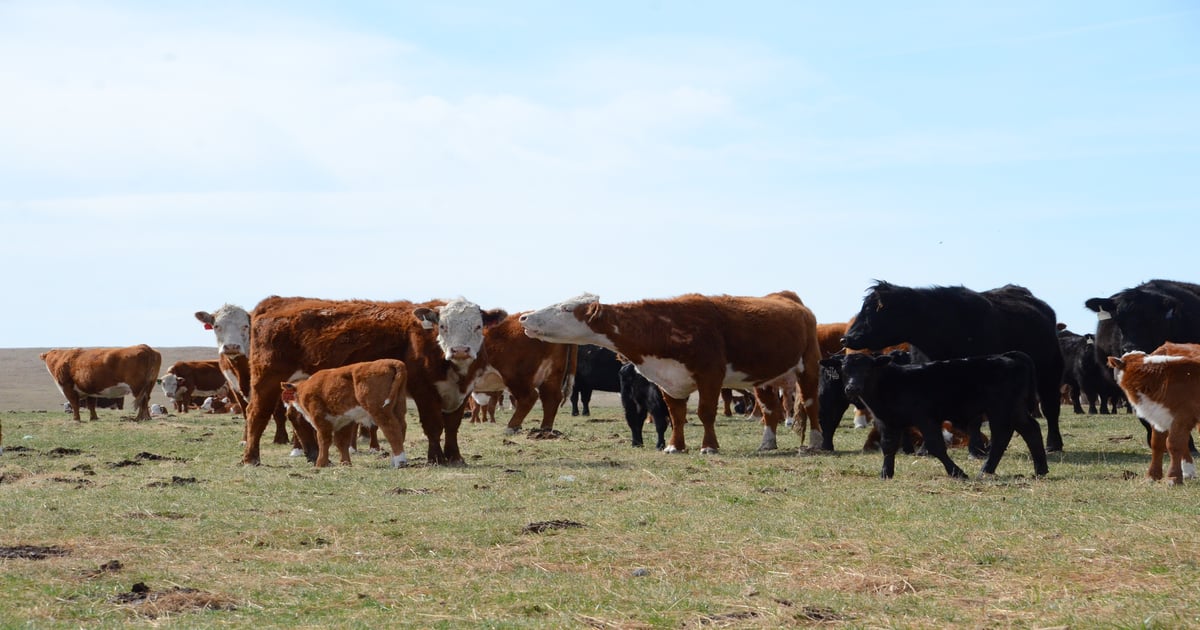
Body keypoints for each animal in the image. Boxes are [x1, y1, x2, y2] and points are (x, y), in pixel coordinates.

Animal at [280, 359, 409, 468]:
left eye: (291, 417)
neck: (304, 389)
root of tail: (390, 361)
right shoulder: (344, 421)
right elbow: (341, 442)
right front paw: (345, 463)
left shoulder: (320, 419)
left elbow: (324, 440)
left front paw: (320, 463)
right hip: (398, 406)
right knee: (401, 427)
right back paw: (394, 459)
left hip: (379, 410)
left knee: (391, 429)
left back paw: (400, 461)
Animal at [520, 291, 822, 455]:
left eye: (565, 308)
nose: (524, 317)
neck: (667, 326)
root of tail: (792, 301)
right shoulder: (669, 381)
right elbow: (675, 415)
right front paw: (675, 446)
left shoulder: (710, 375)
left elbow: (705, 413)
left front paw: (709, 446)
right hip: (764, 379)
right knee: (770, 410)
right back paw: (767, 443)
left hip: (808, 366)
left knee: (810, 404)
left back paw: (816, 442)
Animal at [841, 351, 1049, 479]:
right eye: (844, 370)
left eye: (867, 369)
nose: (852, 387)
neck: (892, 381)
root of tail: (1007, 356)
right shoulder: (887, 421)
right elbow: (888, 446)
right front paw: (886, 473)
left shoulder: (925, 419)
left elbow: (936, 446)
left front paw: (957, 472)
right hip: (1012, 410)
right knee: (1028, 430)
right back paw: (1039, 470)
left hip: (1001, 410)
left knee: (1004, 436)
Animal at [842, 281, 1065, 452]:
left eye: (871, 310)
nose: (846, 338)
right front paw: (926, 449)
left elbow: (974, 419)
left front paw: (976, 450)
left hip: (1050, 372)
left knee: (1051, 407)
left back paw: (1053, 444)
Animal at [1107, 343, 1200, 485]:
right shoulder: (1158, 415)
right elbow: (1157, 444)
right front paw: (1152, 476)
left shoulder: (1183, 416)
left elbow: (1174, 444)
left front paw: (1173, 477)